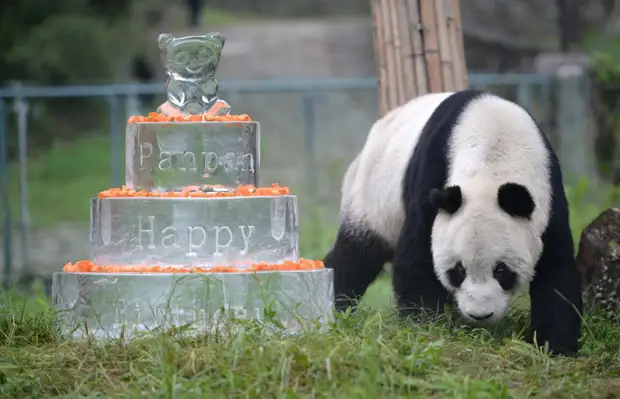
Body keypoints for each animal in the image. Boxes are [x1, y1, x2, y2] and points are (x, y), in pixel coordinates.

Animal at [324, 90, 588, 356]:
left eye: (501, 270)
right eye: (459, 270)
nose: (480, 315)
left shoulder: (549, 198)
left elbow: (556, 271)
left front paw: (555, 347)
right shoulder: (432, 177)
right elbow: (417, 256)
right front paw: (424, 328)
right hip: (372, 196)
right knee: (356, 256)